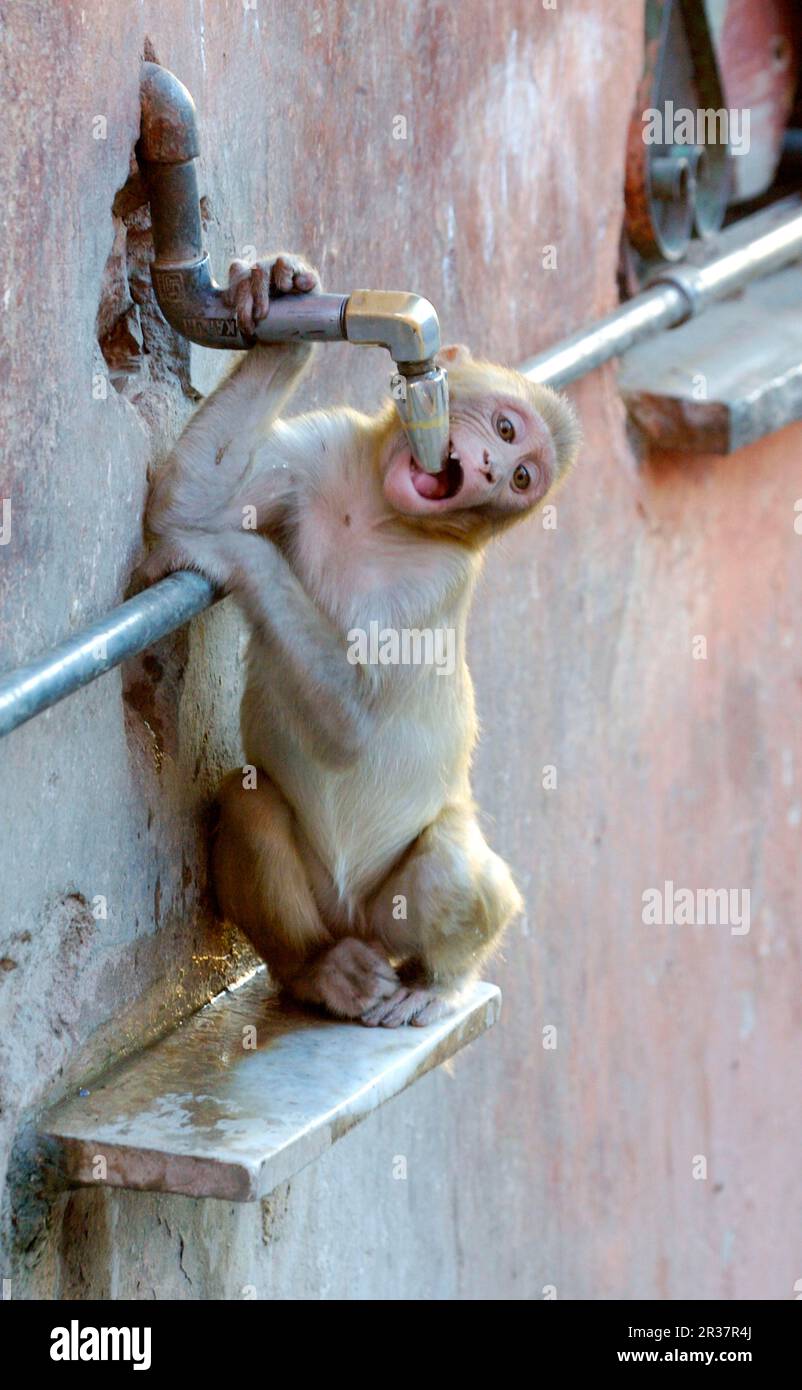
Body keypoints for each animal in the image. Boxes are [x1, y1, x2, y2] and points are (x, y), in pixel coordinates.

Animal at [139, 252, 580, 1028]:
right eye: (506, 430)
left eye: (524, 476)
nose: (493, 473)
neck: (380, 511)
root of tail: (352, 923)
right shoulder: (325, 447)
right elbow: (184, 499)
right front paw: (276, 293)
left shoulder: (439, 579)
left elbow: (353, 725)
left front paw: (234, 554)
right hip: (321, 906)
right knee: (250, 805)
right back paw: (319, 971)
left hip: (391, 915)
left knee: (453, 867)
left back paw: (437, 984)